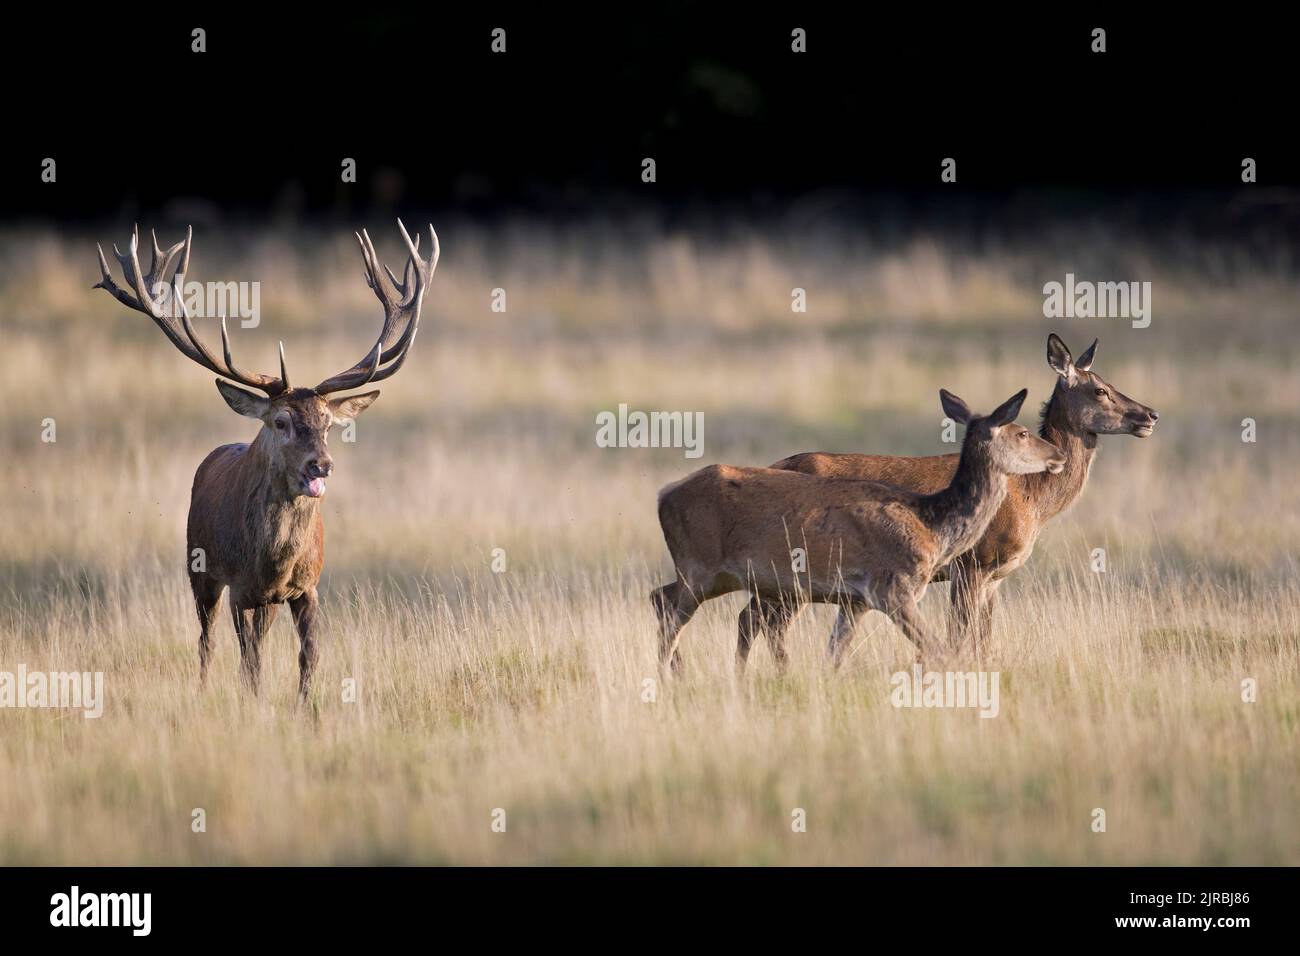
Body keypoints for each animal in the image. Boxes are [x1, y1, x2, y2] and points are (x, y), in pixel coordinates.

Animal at [93, 221, 439, 698]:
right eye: (280, 421)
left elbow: (309, 656)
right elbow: (250, 661)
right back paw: (203, 689)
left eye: (328, 423)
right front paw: (253, 701)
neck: (274, 563)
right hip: (199, 568)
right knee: (206, 640)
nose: (321, 465)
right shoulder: (239, 586)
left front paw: (306, 706)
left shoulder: (306, 588)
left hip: (264, 600)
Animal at [651, 388, 1066, 672]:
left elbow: (834, 656)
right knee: (670, 611)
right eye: (1022, 433)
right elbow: (938, 650)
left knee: (663, 597)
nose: (1058, 454)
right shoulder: (893, 587)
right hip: (699, 566)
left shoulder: (856, 600)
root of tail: (663, 495)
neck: (932, 524)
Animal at [735, 334, 1159, 669]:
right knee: (760, 620)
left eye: (1110, 381)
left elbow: (984, 640)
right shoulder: (973, 563)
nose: (1149, 415)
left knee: (753, 618)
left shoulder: (994, 577)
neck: (1032, 499)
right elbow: (961, 638)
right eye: (1099, 390)